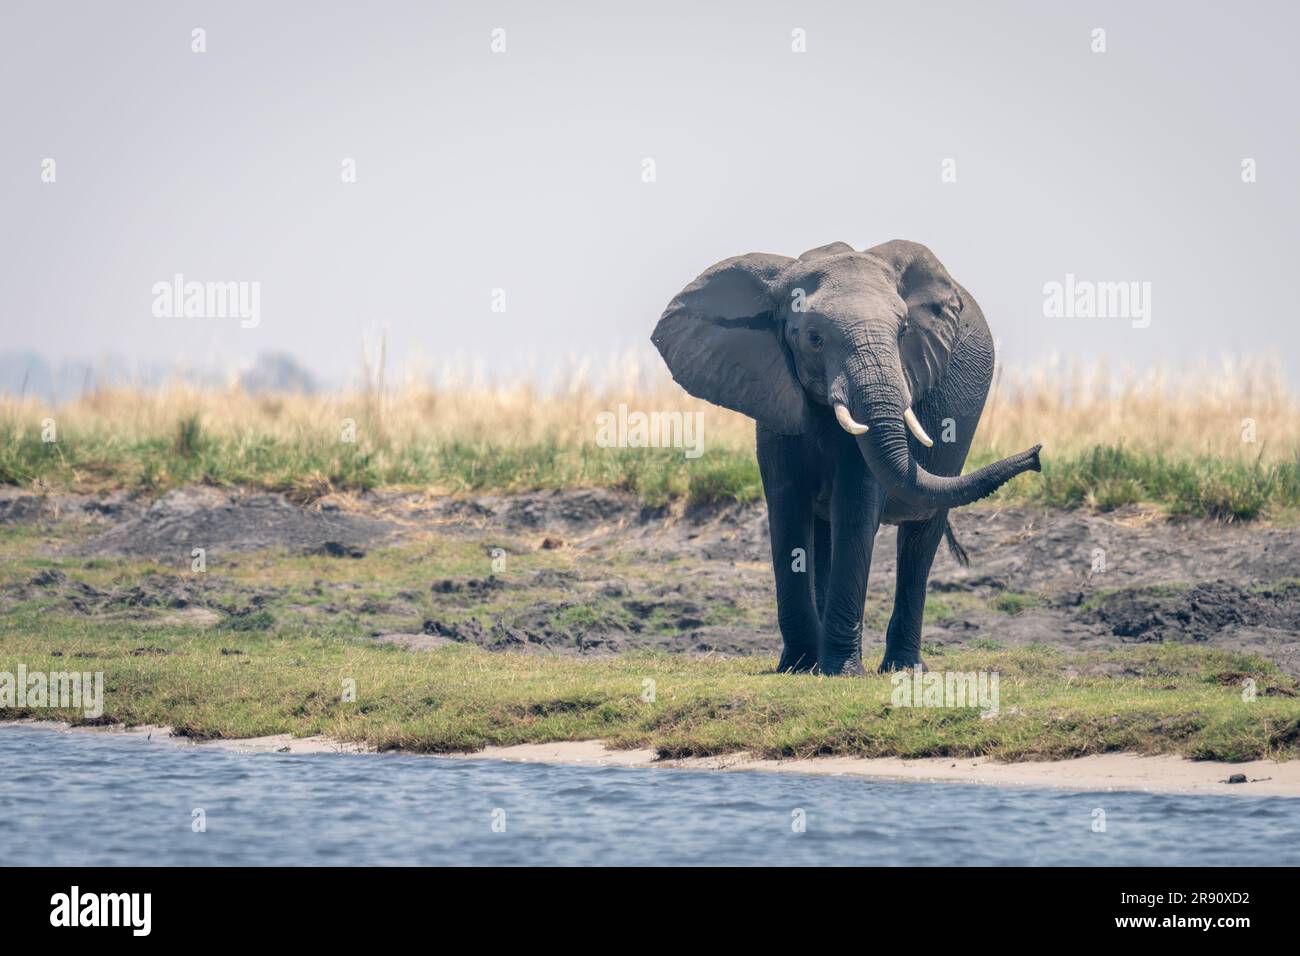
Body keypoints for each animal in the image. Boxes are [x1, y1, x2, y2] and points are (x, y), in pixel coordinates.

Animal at [651, 240, 1042, 675]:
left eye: (903, 331)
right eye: (814, 338)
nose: (1038, 455)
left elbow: (855, 506)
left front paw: (839, 672)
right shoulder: (772, 399)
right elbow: (787, 508)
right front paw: (799, 668)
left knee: (921, 536)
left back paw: (903, 668)